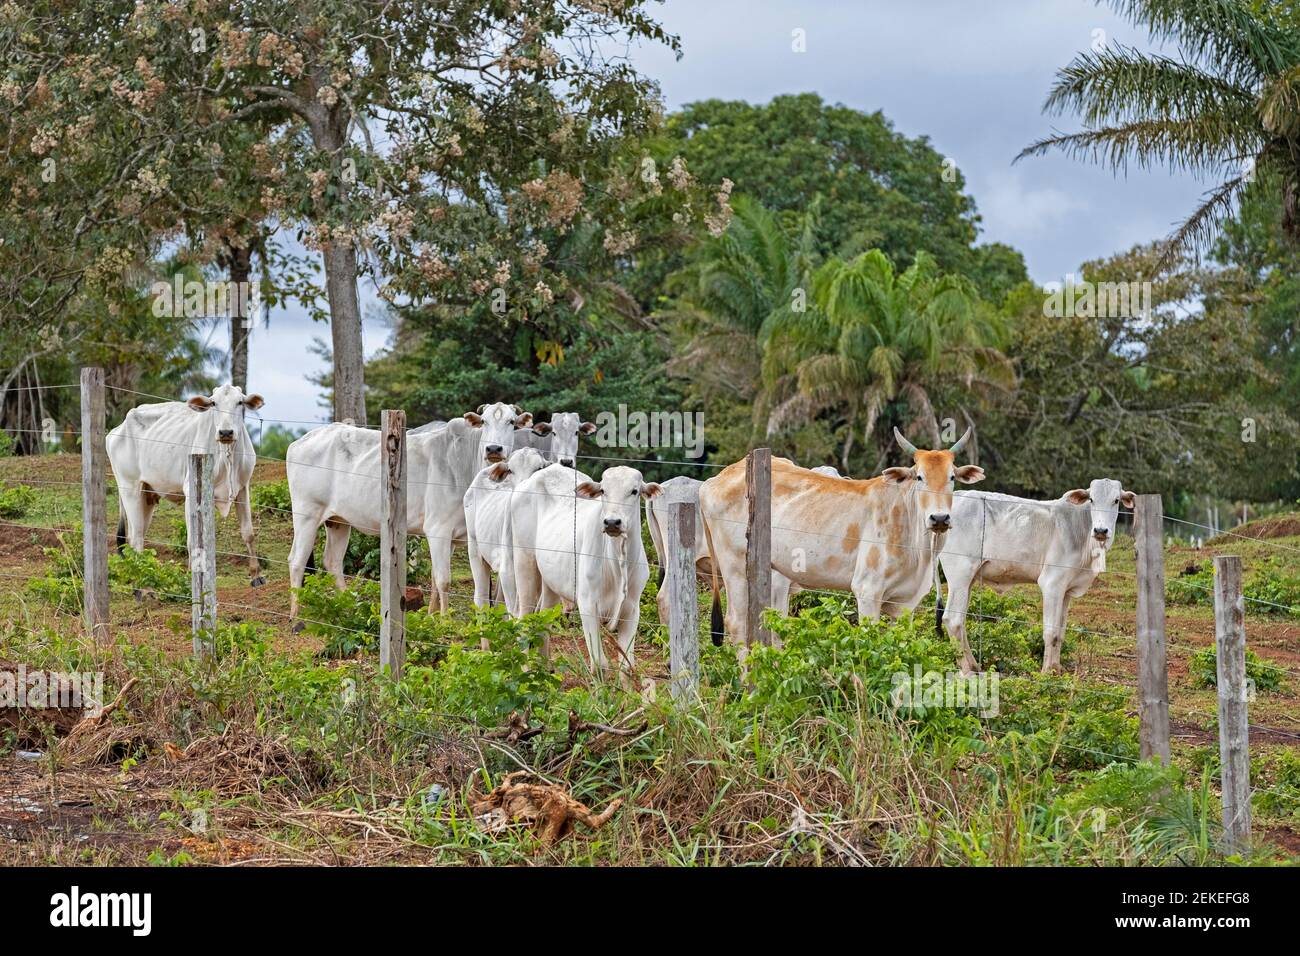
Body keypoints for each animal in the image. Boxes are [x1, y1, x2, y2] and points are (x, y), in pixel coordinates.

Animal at [107, 383, 266, 587]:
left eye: (239, 402)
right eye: (214, 403)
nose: (225, 433)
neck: (227, 456)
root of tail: (118, 428)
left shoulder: (243, 489)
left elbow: (248, 533)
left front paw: (256, 575)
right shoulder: (192, 491)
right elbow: (192, 540)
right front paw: (192, 575)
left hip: (146, 495)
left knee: (137, 535)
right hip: (130, 489)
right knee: (136, 537)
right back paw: (140, 577)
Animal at [285, 401, 532, 618]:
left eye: (511, 421)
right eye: (484, 422)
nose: (493, 448)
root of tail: (302, 441)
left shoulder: (451, 535)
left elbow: (434, 577)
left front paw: (431, 614)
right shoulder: (438, 528)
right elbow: (444, 579)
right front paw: (445, 620)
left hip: (338, 521)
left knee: (333, 561)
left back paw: (347, 605)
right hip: (307, 514)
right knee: (296, 559)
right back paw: (295, 615)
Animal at [510, 464, 661, 680]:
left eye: (634, 491)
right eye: (603, 490)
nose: (612, 522)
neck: (618, 563)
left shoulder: (631, 610)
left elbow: (627, 667)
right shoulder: (588, 605)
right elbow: (599, 664)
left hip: (551, 582)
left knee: (544, 621)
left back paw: (545, 670)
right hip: (525, 564)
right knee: (523, 618)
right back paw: (526, 671)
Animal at [698, 428, 984, 647]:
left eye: (952, 477)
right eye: (919, 477)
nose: (939, 518)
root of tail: (715, 480)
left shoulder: (904, 604)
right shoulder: (868, 591)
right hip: (735, 568)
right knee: (737, 624)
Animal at [938, 478, 1135, 673]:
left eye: (1116, 500)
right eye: (1092, 499)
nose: (1101, 530)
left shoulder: (1066, 590)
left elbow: (1060, 632)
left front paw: (1056, 669)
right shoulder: (1052, 584)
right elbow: (1051, 632)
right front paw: (1046, 672)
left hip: (969, 580)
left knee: (961, 620)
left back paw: (973, 664)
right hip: (959, 573)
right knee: (952, 619)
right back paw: (967, 669)